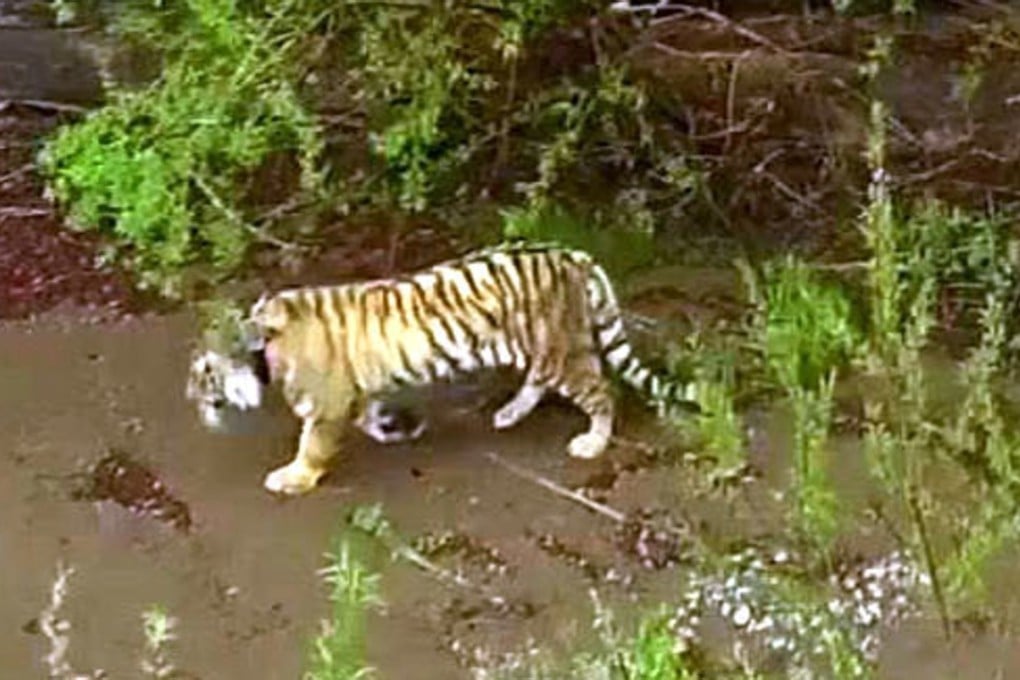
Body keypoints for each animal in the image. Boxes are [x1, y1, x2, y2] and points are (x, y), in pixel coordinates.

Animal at [185, 242, 699, 496]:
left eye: (205, 371)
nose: (189, 397)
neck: (267, 348)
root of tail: (575, 257)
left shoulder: (326, 404)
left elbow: (311, 446)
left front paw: (293, 479)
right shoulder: (354, 392)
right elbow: (371, 415)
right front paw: (398, 428)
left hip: (563, 352)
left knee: (601, 392)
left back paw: (592, 443)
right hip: (540, 348)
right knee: (538, 379)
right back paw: (508, 414)